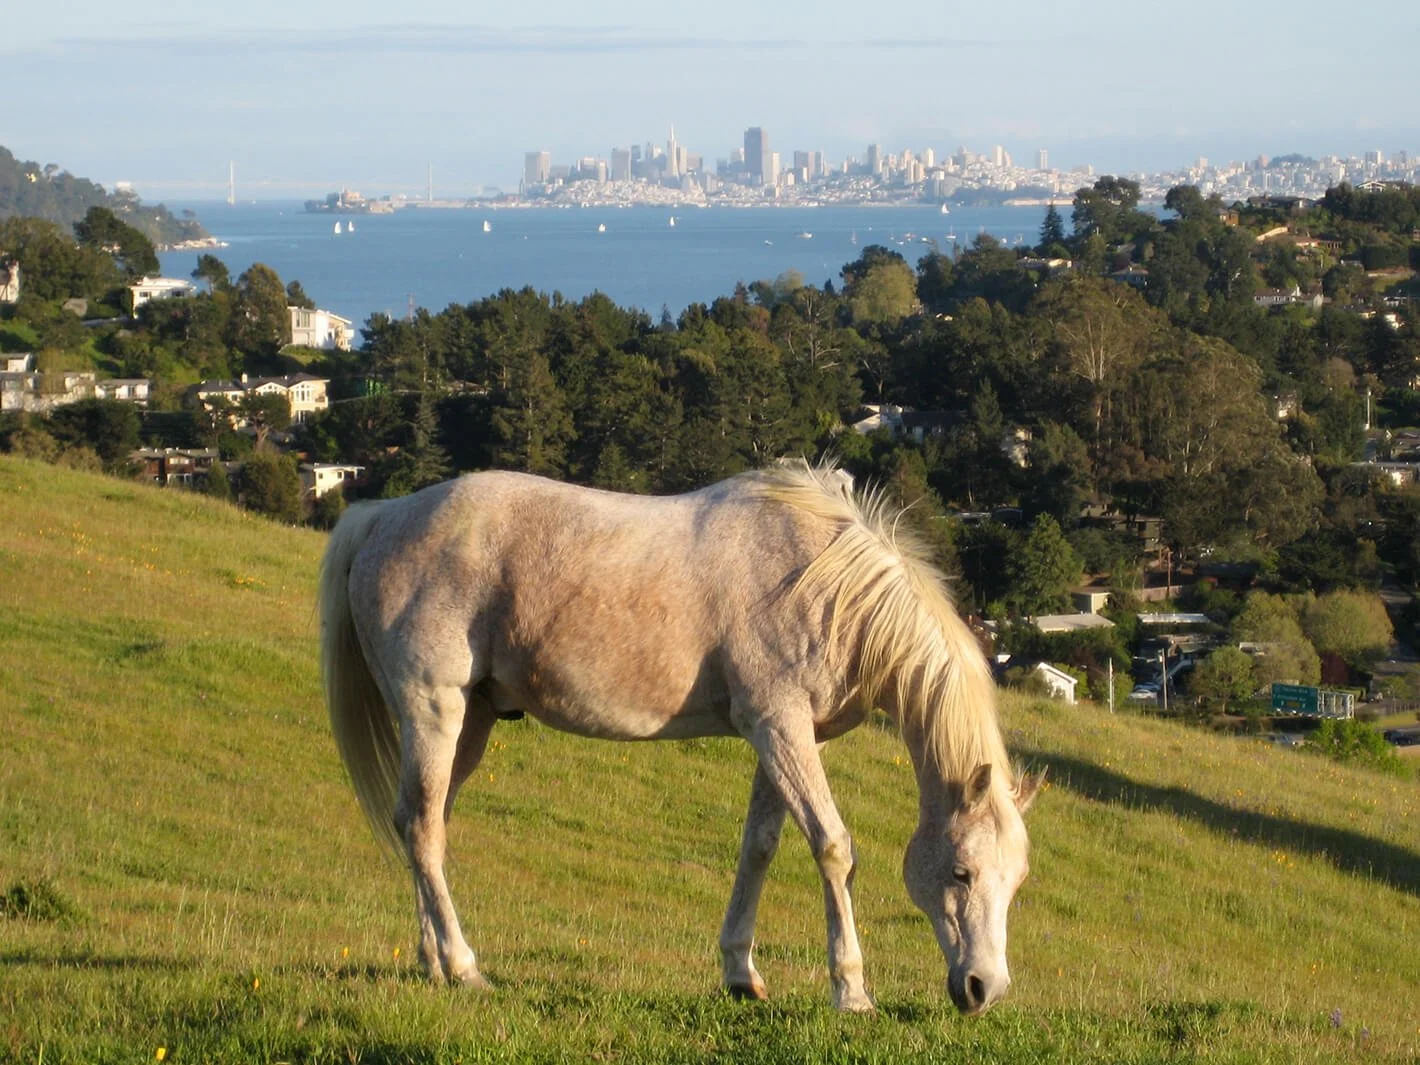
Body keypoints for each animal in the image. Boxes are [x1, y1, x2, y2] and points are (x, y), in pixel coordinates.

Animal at [318, 460, 1041, 1014]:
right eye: (961, 871)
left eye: (1016, 881)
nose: (985, 988)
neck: (826, 583)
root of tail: (384, 515)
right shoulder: (778, 724)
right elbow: (832, 847)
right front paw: (852, 992)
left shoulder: (788, 737)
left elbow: (760, 847)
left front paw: (741, 974)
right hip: (433, 709)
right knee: (421, 827)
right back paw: (465, 966)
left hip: (471, 721)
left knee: (423, 823)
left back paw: (432, 961)